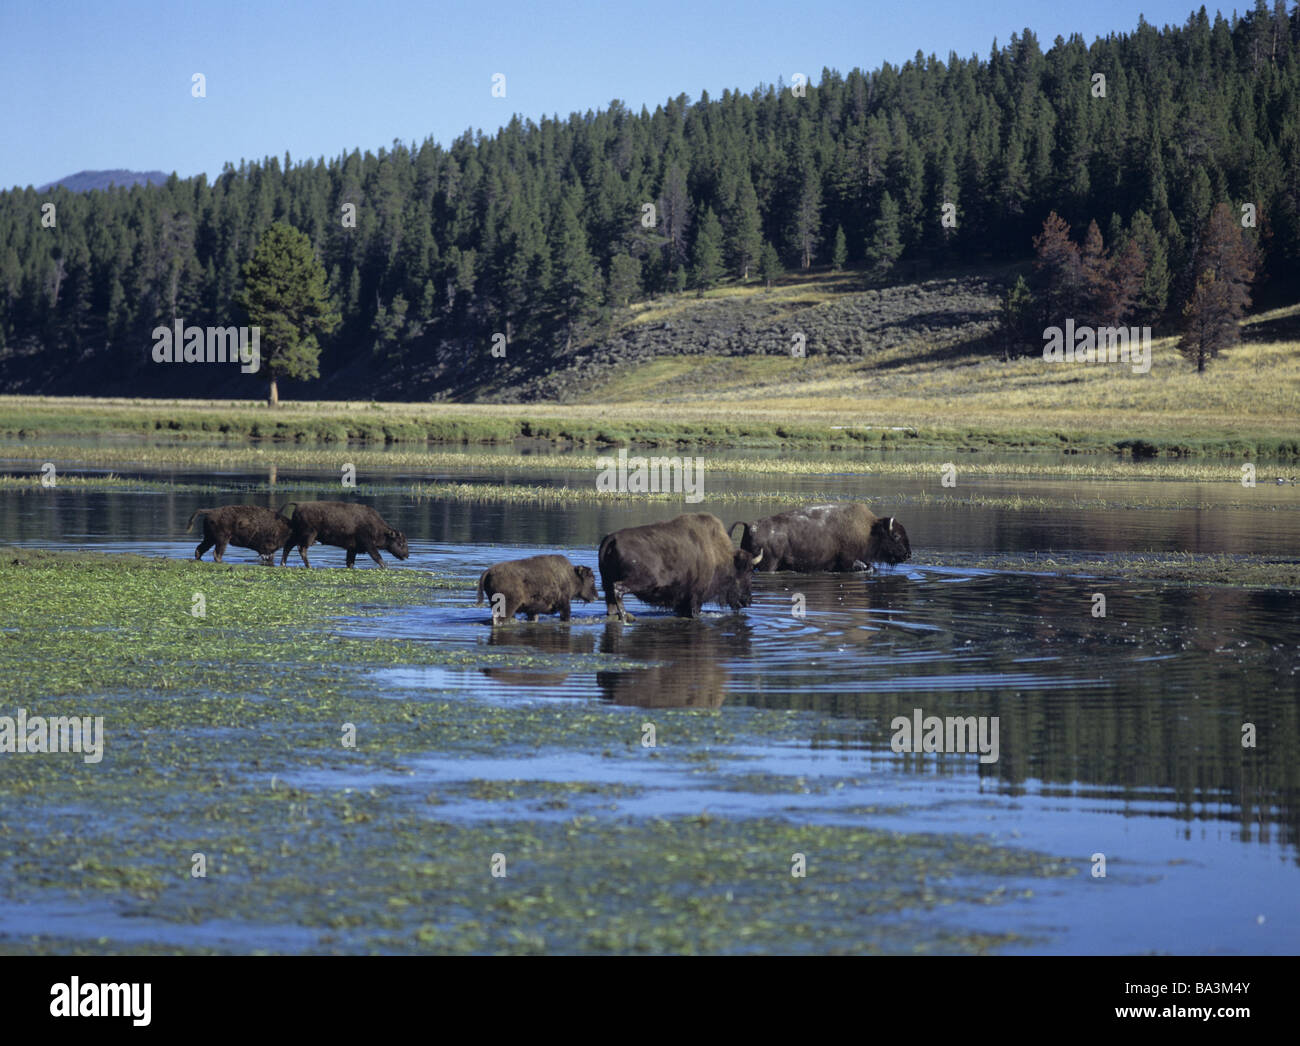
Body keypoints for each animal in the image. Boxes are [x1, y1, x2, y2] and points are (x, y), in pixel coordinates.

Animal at [277, 501, 409, 568]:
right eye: (400, 543)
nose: (407, 555)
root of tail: (299, 505)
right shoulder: (368, 545)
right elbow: (378, 557)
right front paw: (385, 567)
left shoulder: (352, 549)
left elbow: (350, 562)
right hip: (309, 535)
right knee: (301, 548)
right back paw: (308, 566)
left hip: (298, 534)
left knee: (288, 546)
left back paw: (283, 564)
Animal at [597, 512, 762, 622]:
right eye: (748, 572)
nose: (748, 601)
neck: (719, 555)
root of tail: (611, 538)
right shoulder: (696, 598)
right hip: (641, 581)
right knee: (618, 589)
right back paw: (626, 617)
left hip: (606, 583)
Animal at [730, 503, 911, 572]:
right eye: (895, 536)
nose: (908, 554)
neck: (869, 530)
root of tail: (750, 525)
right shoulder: (848, 561)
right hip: (769, 565)